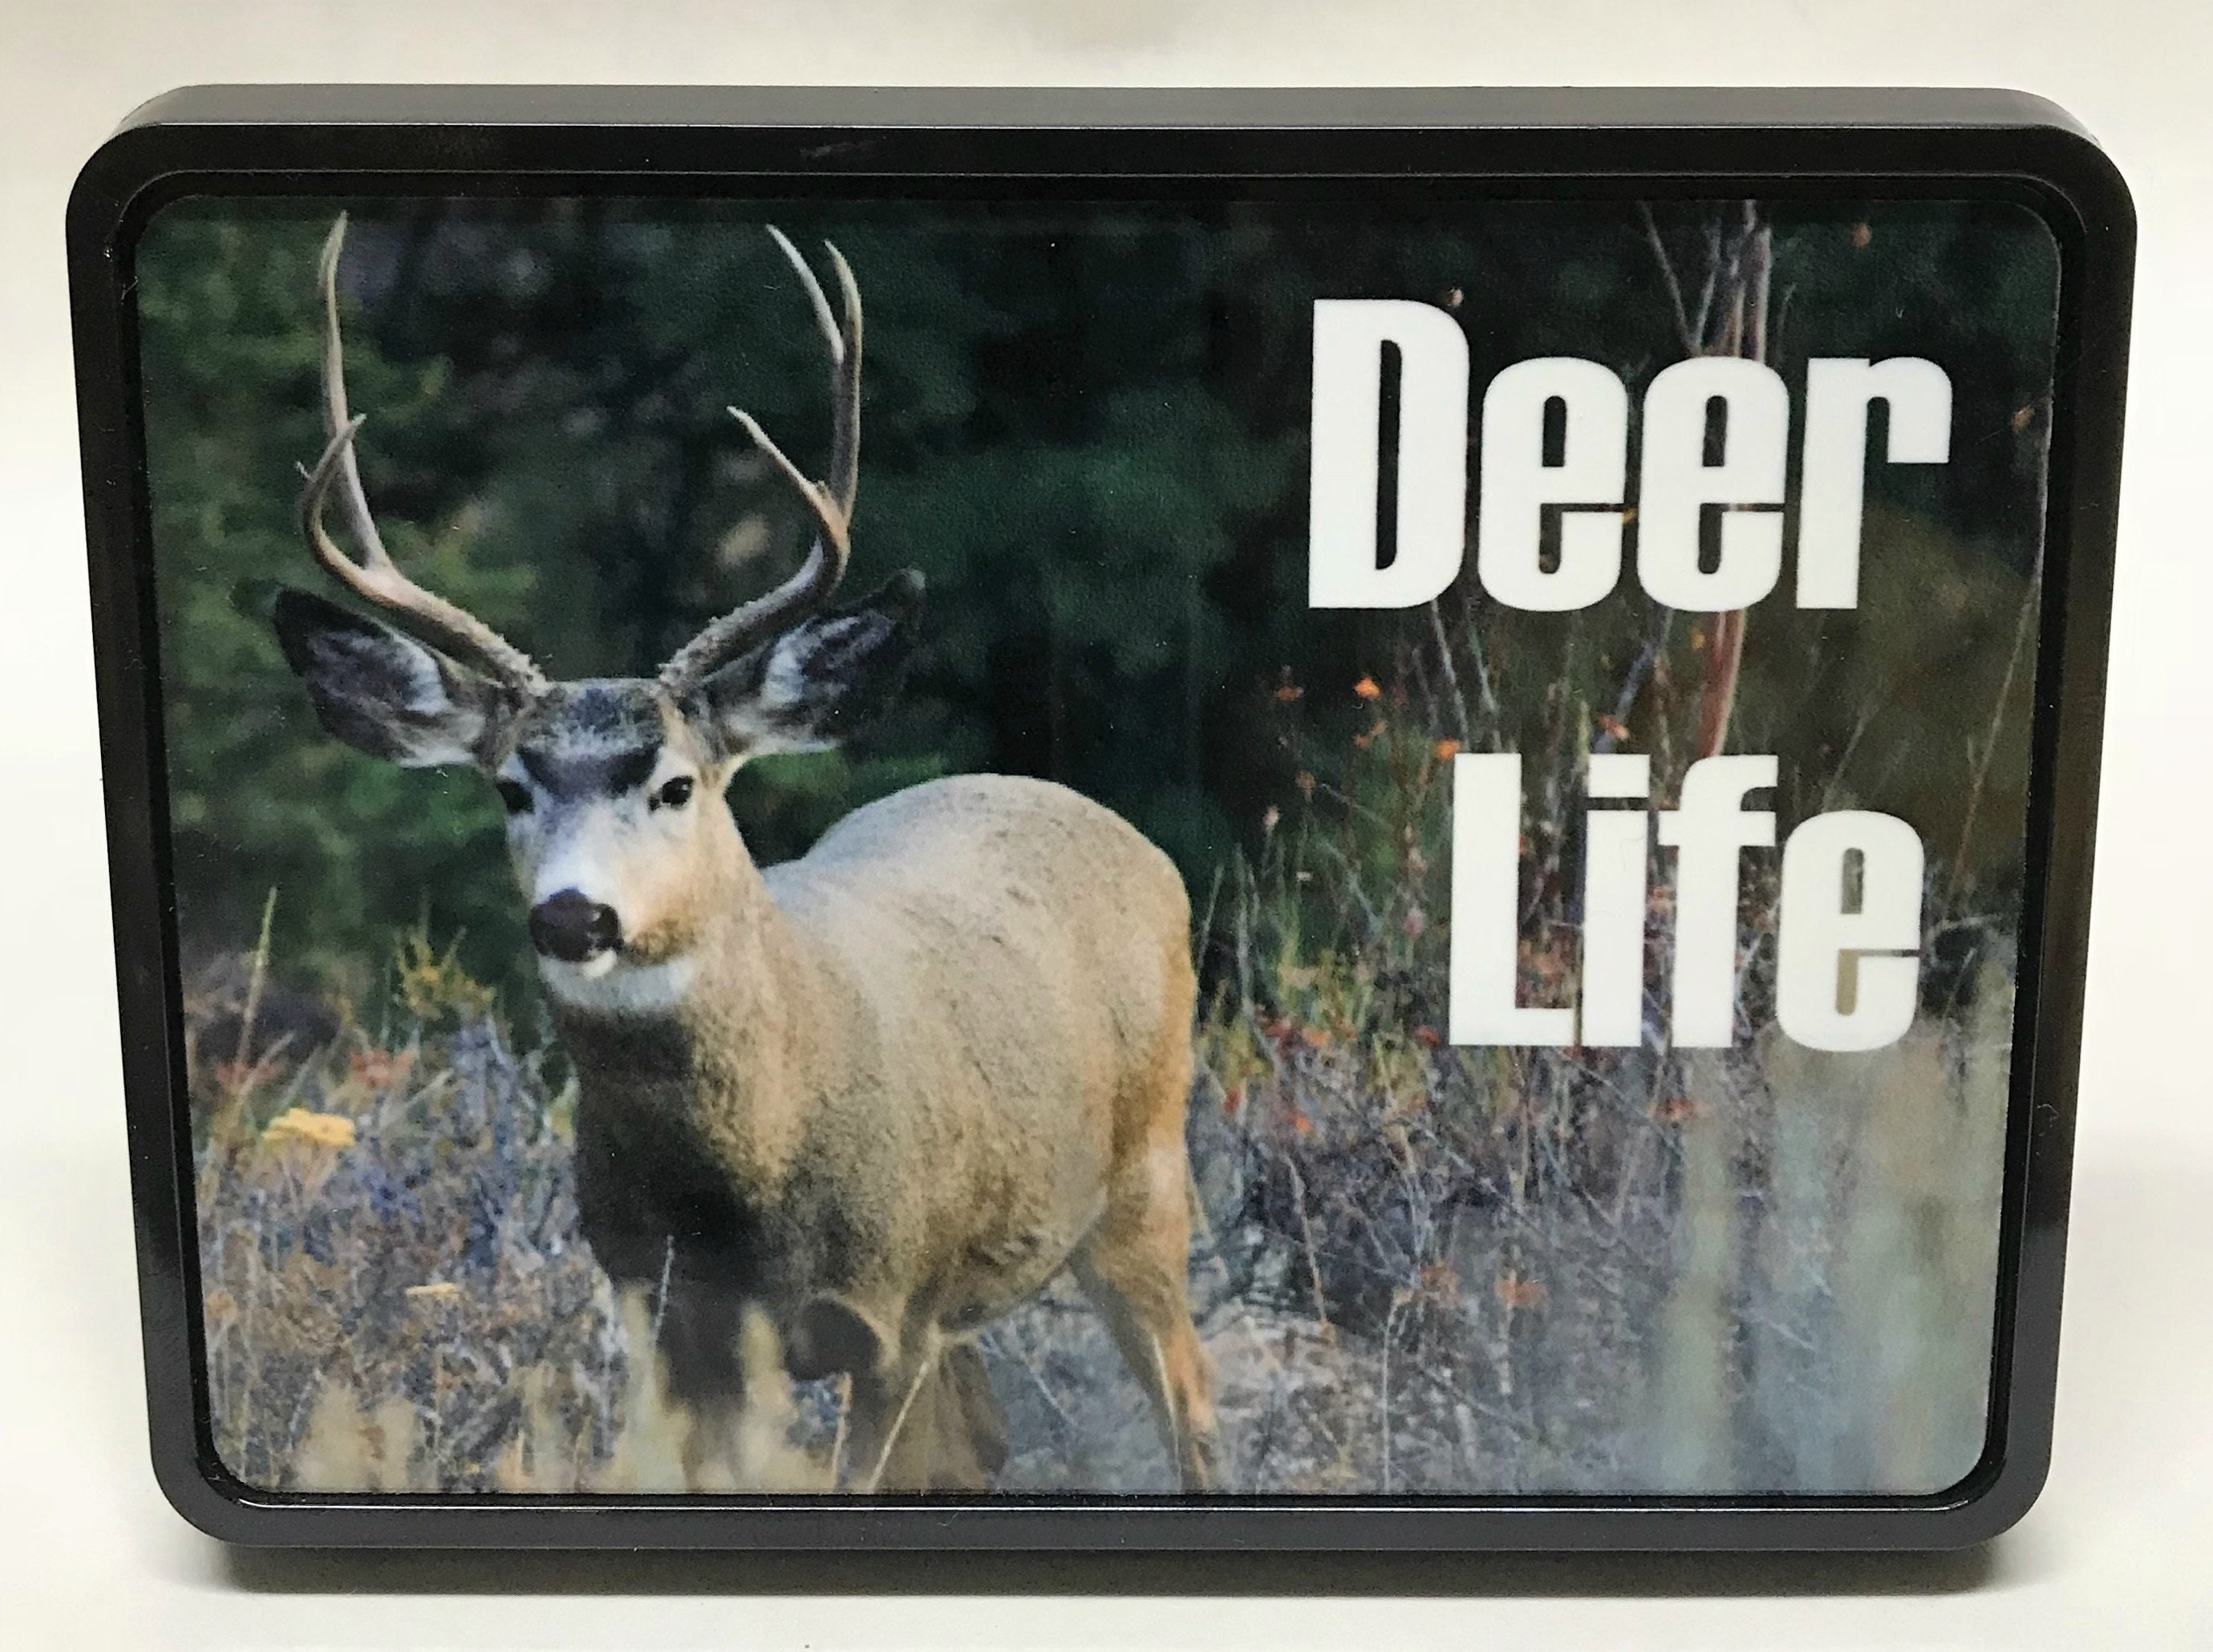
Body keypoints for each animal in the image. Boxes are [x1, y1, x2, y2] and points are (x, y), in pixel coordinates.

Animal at [265, 217, 1221, 1492]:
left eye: (676, 783)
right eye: (512, 787)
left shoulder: (893, 1312)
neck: (742, 1192)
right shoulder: (666, 1324)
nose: (575, 915)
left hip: (1145, 1180)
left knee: (1190, 1407)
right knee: (981, 1441)